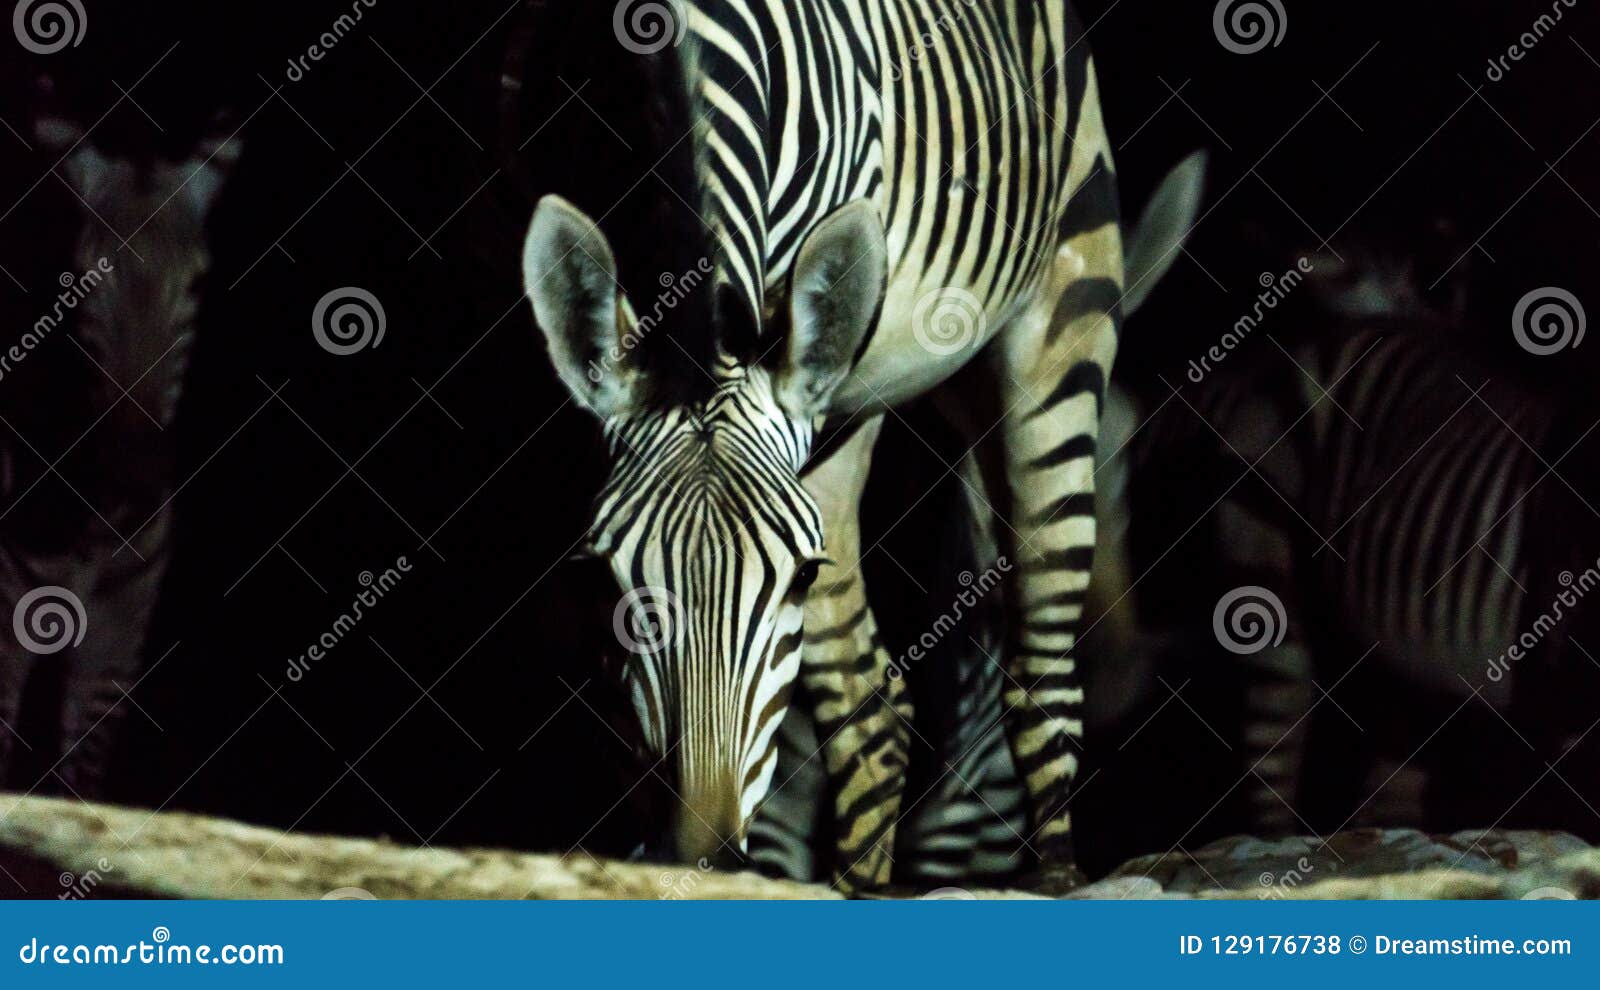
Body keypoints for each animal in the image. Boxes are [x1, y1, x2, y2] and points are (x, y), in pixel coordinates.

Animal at [514, 0, 1131, 892]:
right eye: (604, 577)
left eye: (799, 577)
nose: (705, 861)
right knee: (871, 711)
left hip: (1056, 328)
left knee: (1041, 689)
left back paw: (1052, 876)